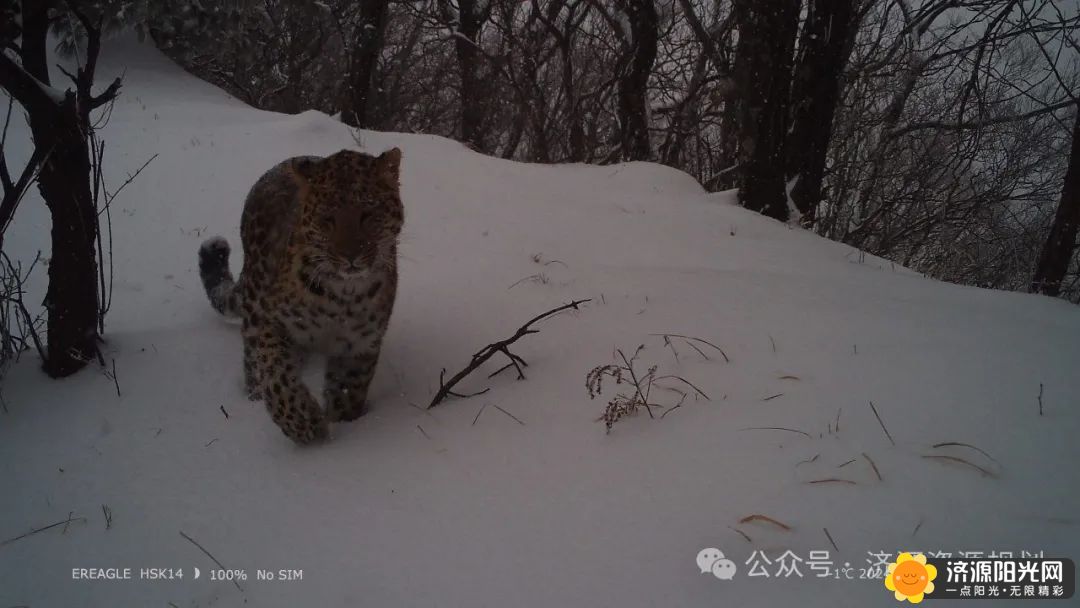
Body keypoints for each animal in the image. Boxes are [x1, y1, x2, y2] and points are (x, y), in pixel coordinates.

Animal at [196, 147, 403, 442]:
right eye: (327, 220)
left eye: (368, 214)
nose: (350, 256)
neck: (343, 295)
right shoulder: (271, 322)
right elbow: (276, 376)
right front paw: (305, 425)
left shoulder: (358, 344)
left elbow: (346, 393)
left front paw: (342, 430)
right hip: (254, 306)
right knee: (253, 362)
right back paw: (254, 397)